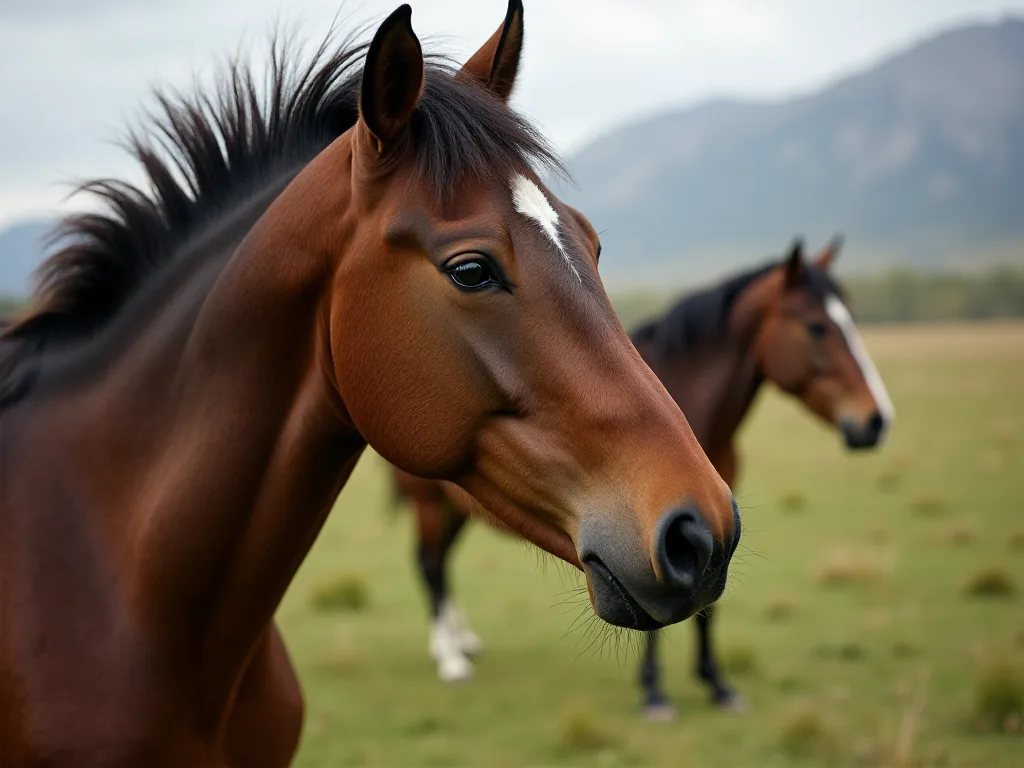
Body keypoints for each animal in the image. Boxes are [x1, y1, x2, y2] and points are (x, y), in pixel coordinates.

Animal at [394, 238, 894, 708]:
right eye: (817, 326)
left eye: (849, 318)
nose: (877, 420)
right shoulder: (654, 530)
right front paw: (654, 692)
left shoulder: (706, 525)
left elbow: (707, 605)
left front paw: (717, 684)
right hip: (429, 503)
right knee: (431, 565)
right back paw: (450, 658)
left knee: (441, 563)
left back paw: (462, 641)